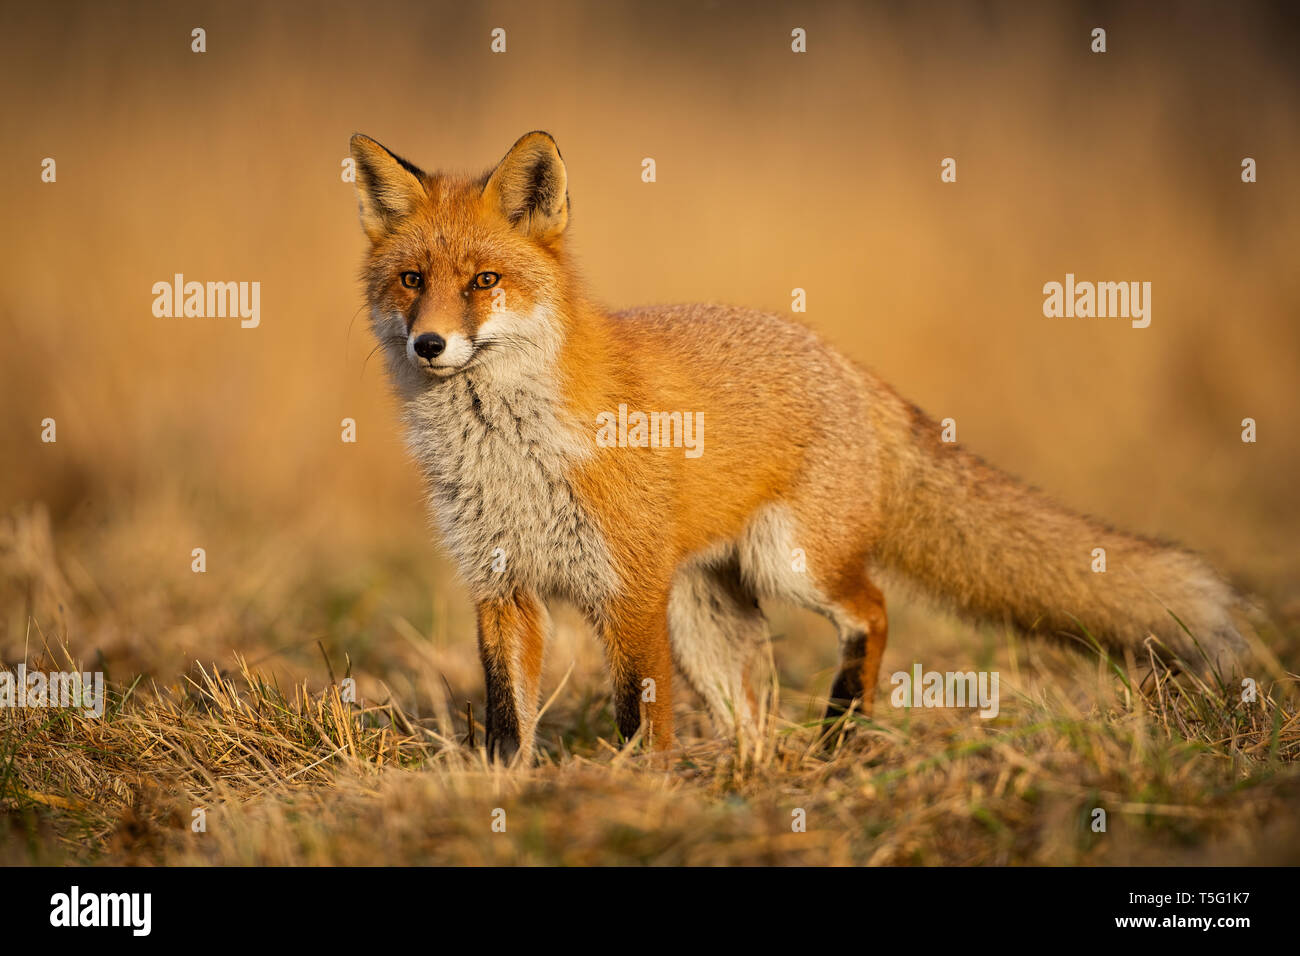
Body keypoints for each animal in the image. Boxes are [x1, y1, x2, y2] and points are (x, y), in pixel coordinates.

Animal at [349, 130, 1247, 765]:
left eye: (484, 282)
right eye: (411, 281)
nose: (429, 344)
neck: (509, 453)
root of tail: (844, 362)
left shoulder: (629, 592)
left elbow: (641, 717)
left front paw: (643, 789)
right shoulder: (500, 587)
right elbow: (507, 721)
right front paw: (505, 797)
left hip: (791, 564)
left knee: (874, 610)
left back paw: (840, 734)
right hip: (707, 614)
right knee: (755, 709)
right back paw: (758, 776)